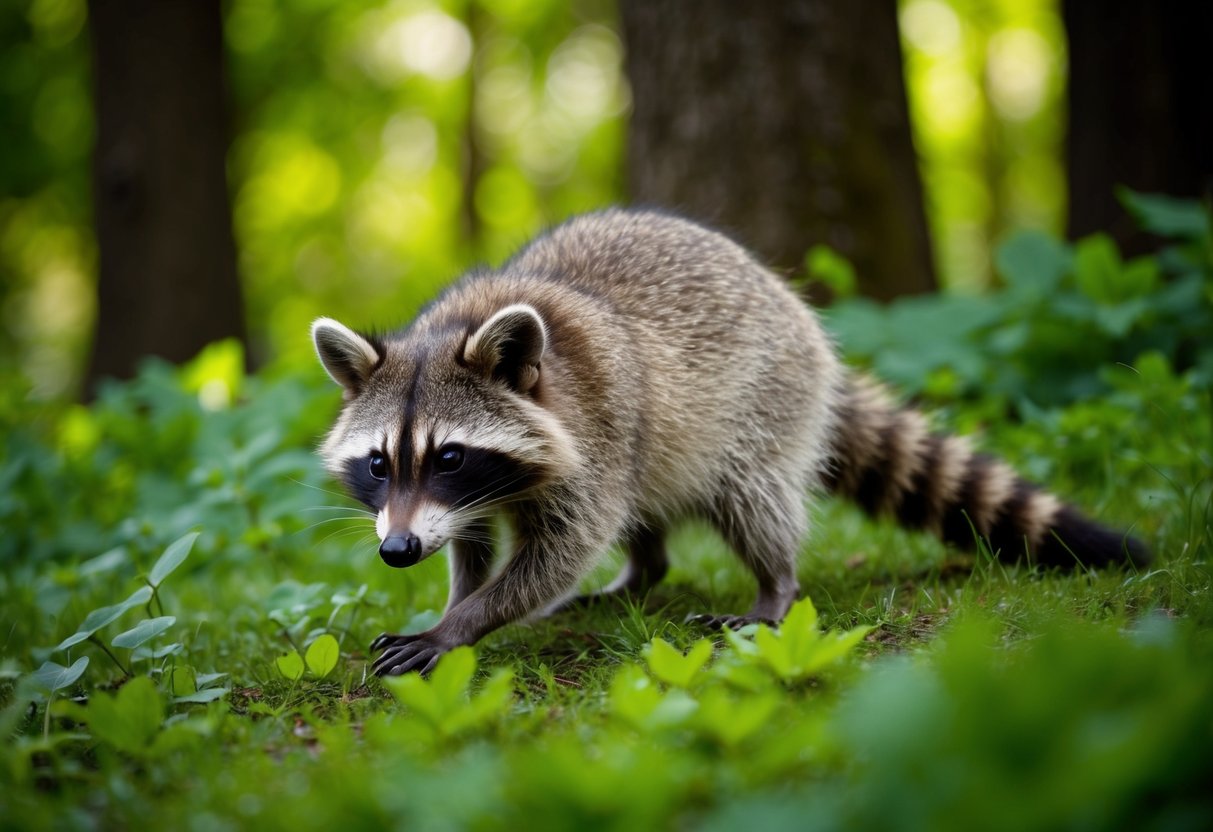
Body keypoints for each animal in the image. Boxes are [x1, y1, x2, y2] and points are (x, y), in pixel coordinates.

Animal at [312, 208, 1148, 675]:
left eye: (449, 456)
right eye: (379, 463)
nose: (395, 552)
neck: (455, 326)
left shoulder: (593, 428)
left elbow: (566, 545)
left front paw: (465, 621)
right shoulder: (473, 494)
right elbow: (472, 539)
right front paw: (458, 598)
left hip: (762, 397)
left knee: (751, 498)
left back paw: (773, 585)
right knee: (645, 509)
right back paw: (642, 571)